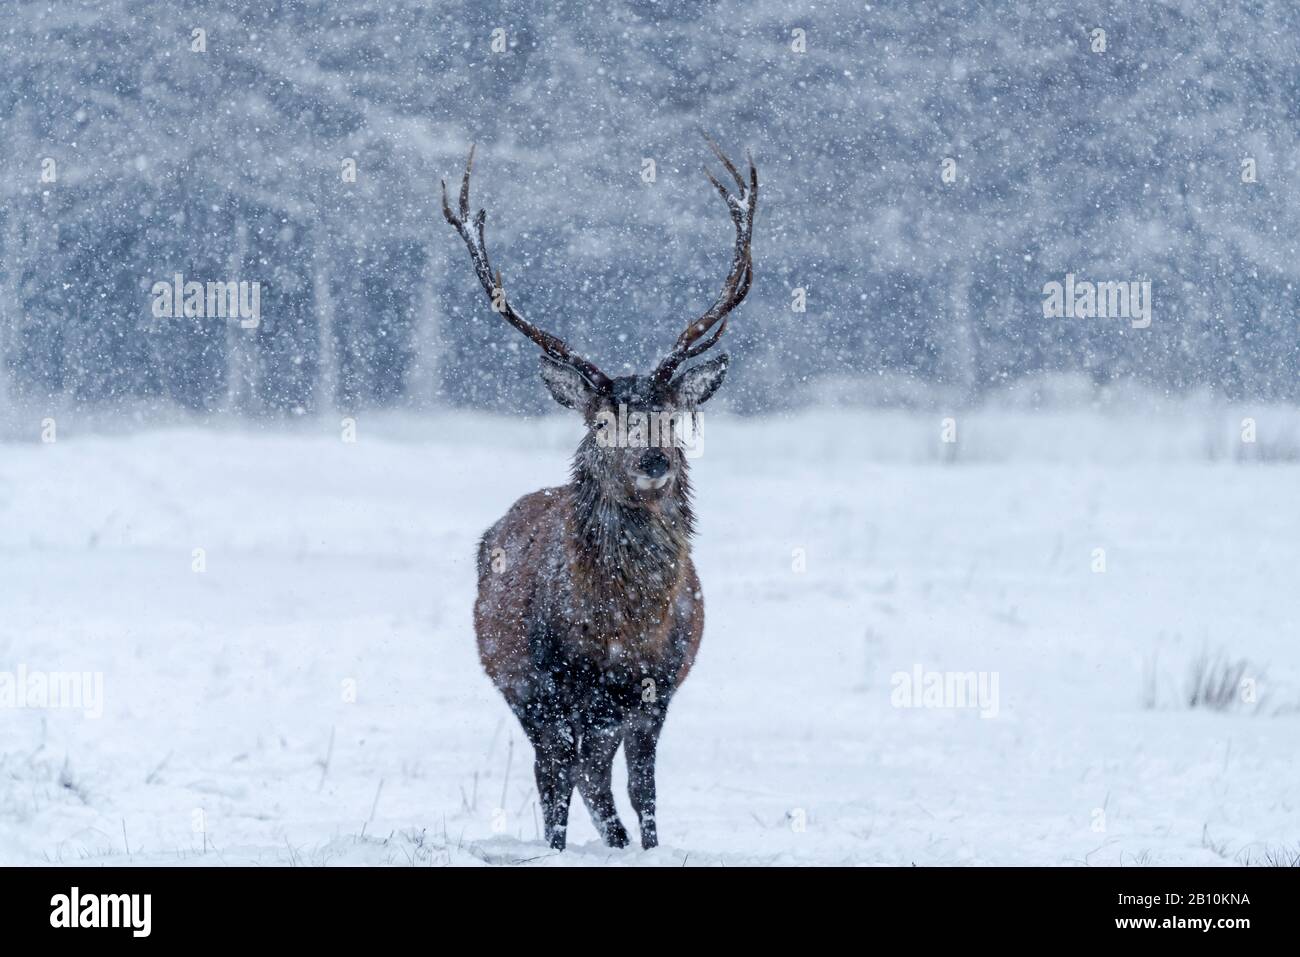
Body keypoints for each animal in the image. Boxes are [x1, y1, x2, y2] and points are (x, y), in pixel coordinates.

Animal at [441, 137, 756, 851]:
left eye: (671, 415)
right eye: (605, 420)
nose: (653, 460)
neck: (619, 633)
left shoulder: (653, 693)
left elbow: (645, 796)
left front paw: (648, 848)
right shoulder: (548, 691)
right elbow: (556, 793)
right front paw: (557, 853)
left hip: (602, 717)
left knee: (596, 782)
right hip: (528, 696)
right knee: (561, 779)